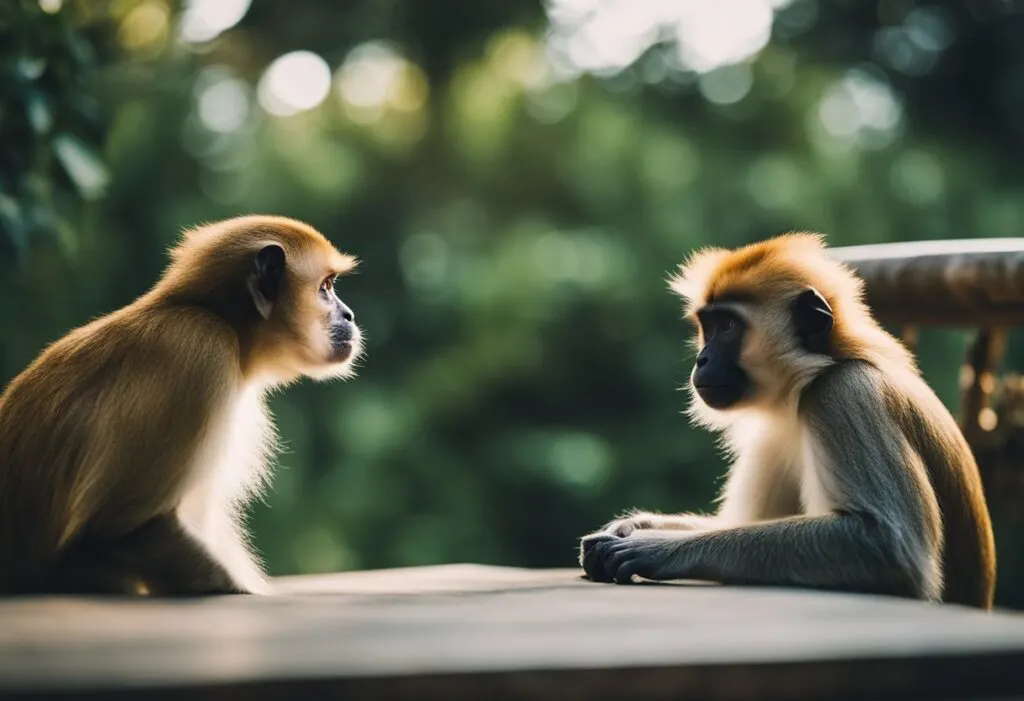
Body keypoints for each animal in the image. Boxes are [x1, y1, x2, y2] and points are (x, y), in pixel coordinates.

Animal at [580, 232, 997, 609]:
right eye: (707, 327)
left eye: (727, 327)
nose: (702, 359)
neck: (816, 372)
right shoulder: (774, 433)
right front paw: (631, 526)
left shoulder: (844, 393)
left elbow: (891, 549)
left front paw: (651, 545)